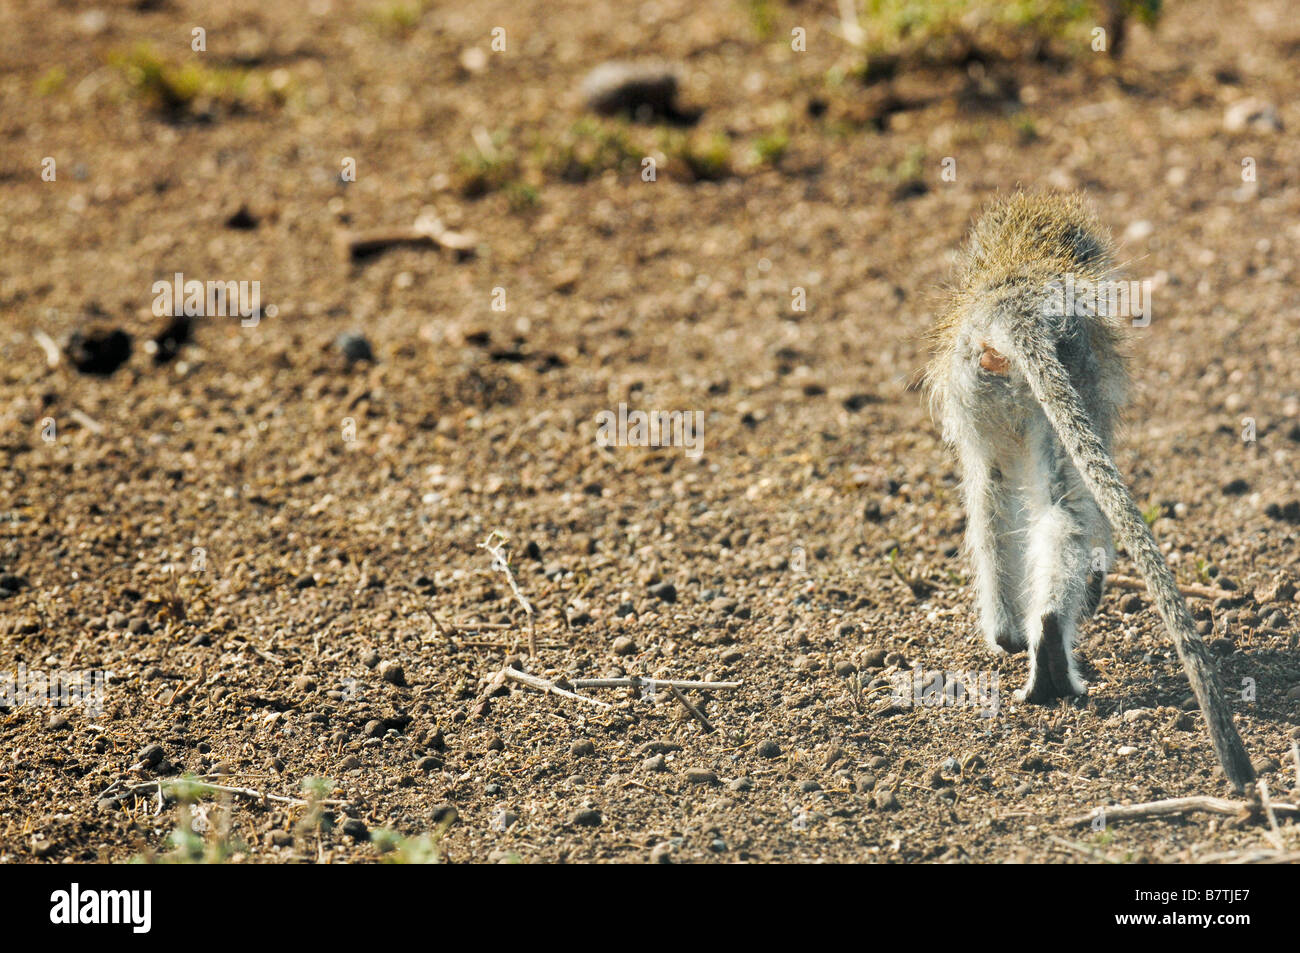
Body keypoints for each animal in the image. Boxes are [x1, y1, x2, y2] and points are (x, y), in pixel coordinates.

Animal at [925, 192, 1255, 792]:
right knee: (1069, 509)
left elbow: (995, 501)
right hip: (1064, 369)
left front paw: (1011, 636)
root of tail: (1014, 312)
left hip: (991, 384)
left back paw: (1041, 644)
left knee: (1010, 503)